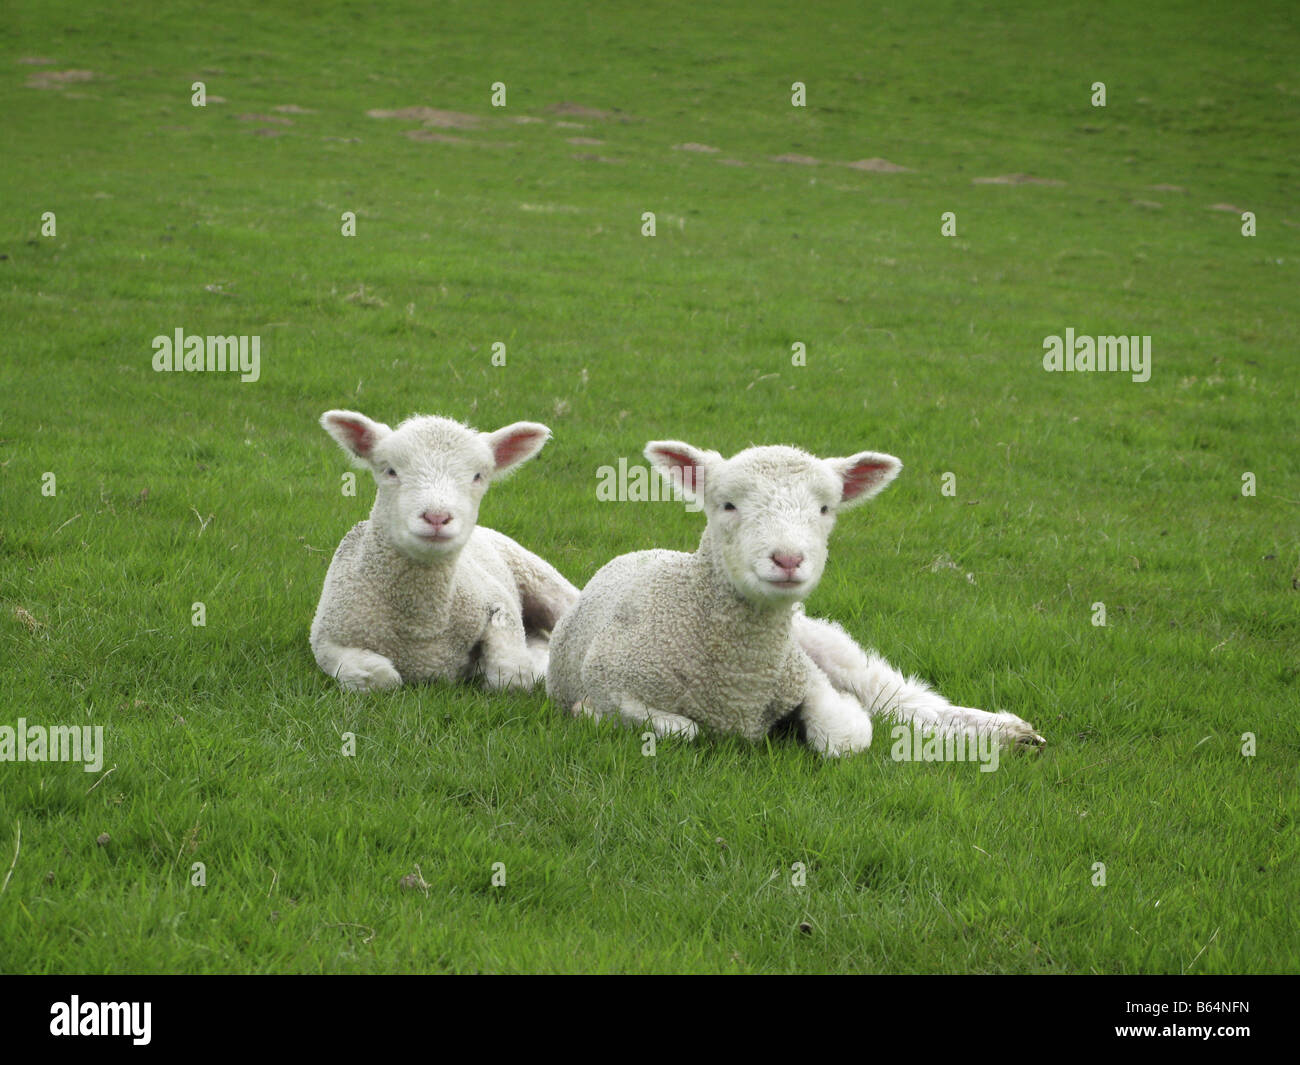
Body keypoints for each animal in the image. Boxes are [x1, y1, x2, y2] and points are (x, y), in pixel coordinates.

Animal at [311, 410, 579, 692]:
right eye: (390, 470)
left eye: (478, 476)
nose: (436, 517)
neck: (423, 627)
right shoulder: (325, 640)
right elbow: (381, 678)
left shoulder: (500, 601)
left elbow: (512, 676)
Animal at [546, 440, 1044, 757]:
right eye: (727, 505)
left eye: (826, 509)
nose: (788, 559)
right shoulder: (612, 686)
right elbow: (681, 730)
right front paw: (587, 715)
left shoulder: (808, 680)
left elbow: (846, 735)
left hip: (824, 645)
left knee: (898, 700)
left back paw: (1009, 732)